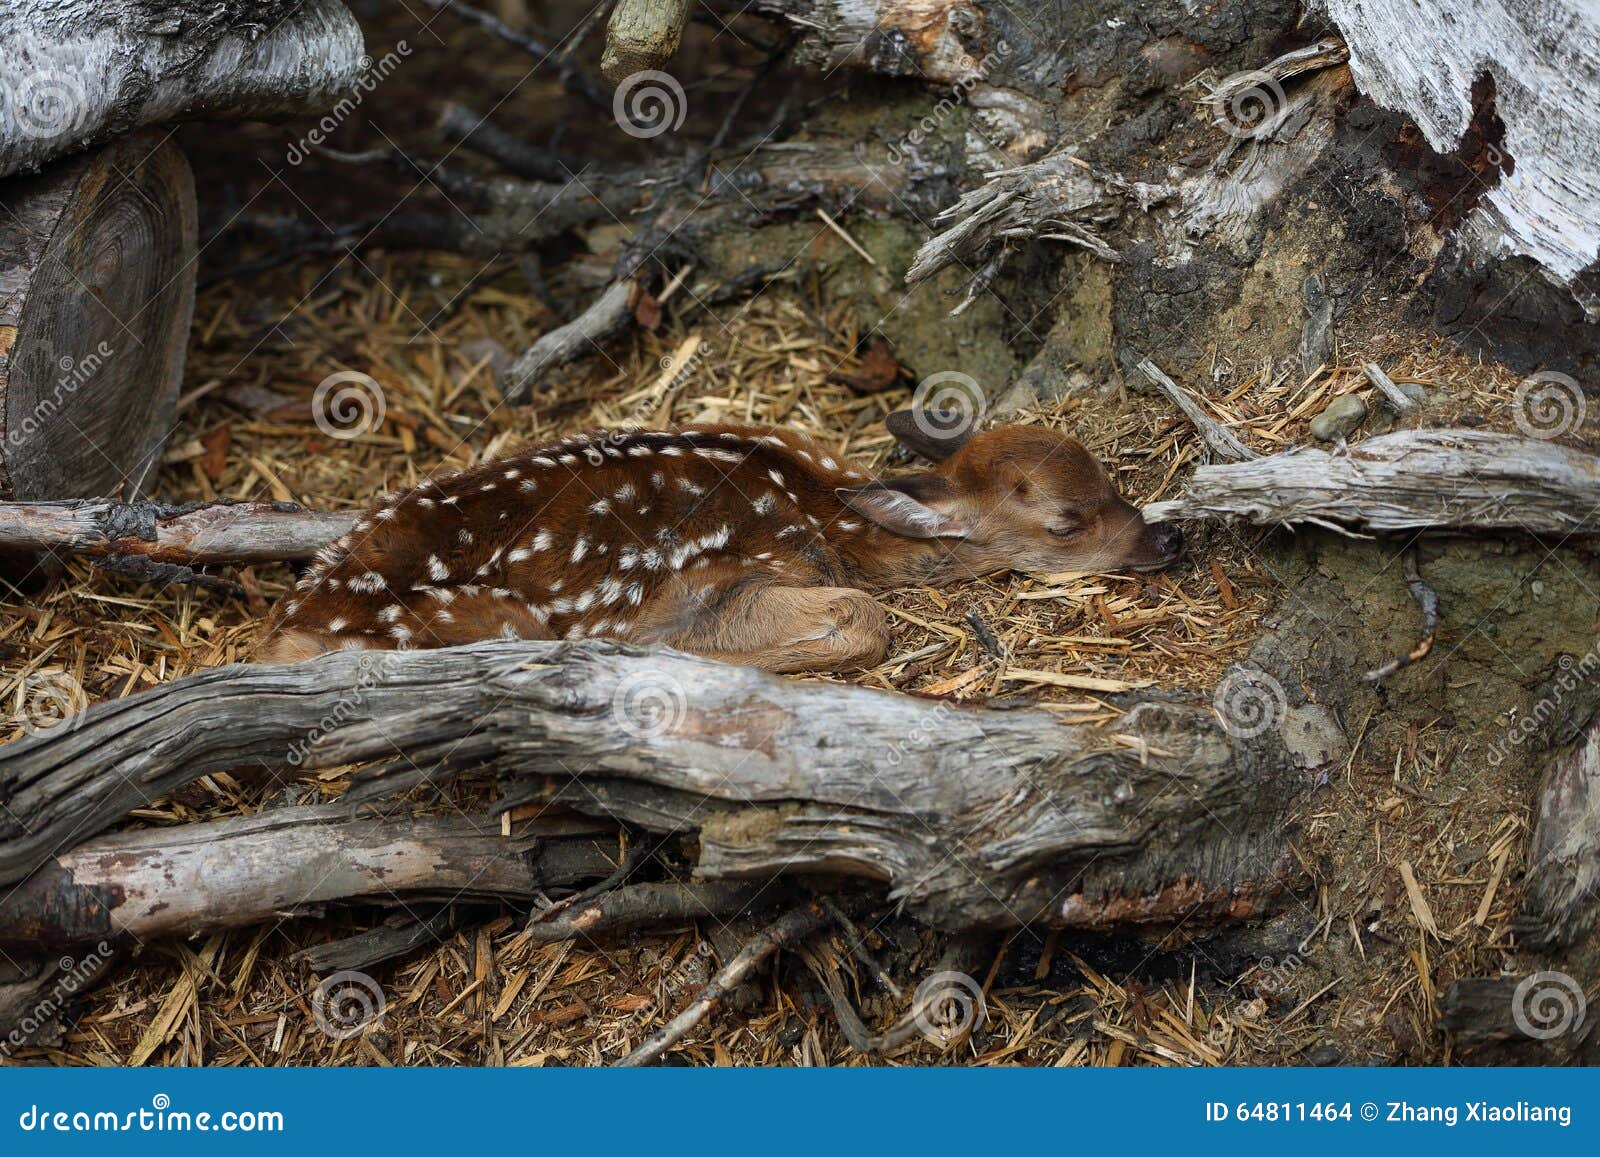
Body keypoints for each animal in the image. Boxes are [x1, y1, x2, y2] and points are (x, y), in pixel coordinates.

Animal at [255, 410, 1184, 671]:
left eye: (1112, 477)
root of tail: (289, 623)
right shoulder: (705, 580)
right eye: (1067, 521)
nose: (1165, 541)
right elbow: (864, 615)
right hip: (483, 620)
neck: (831, 515)